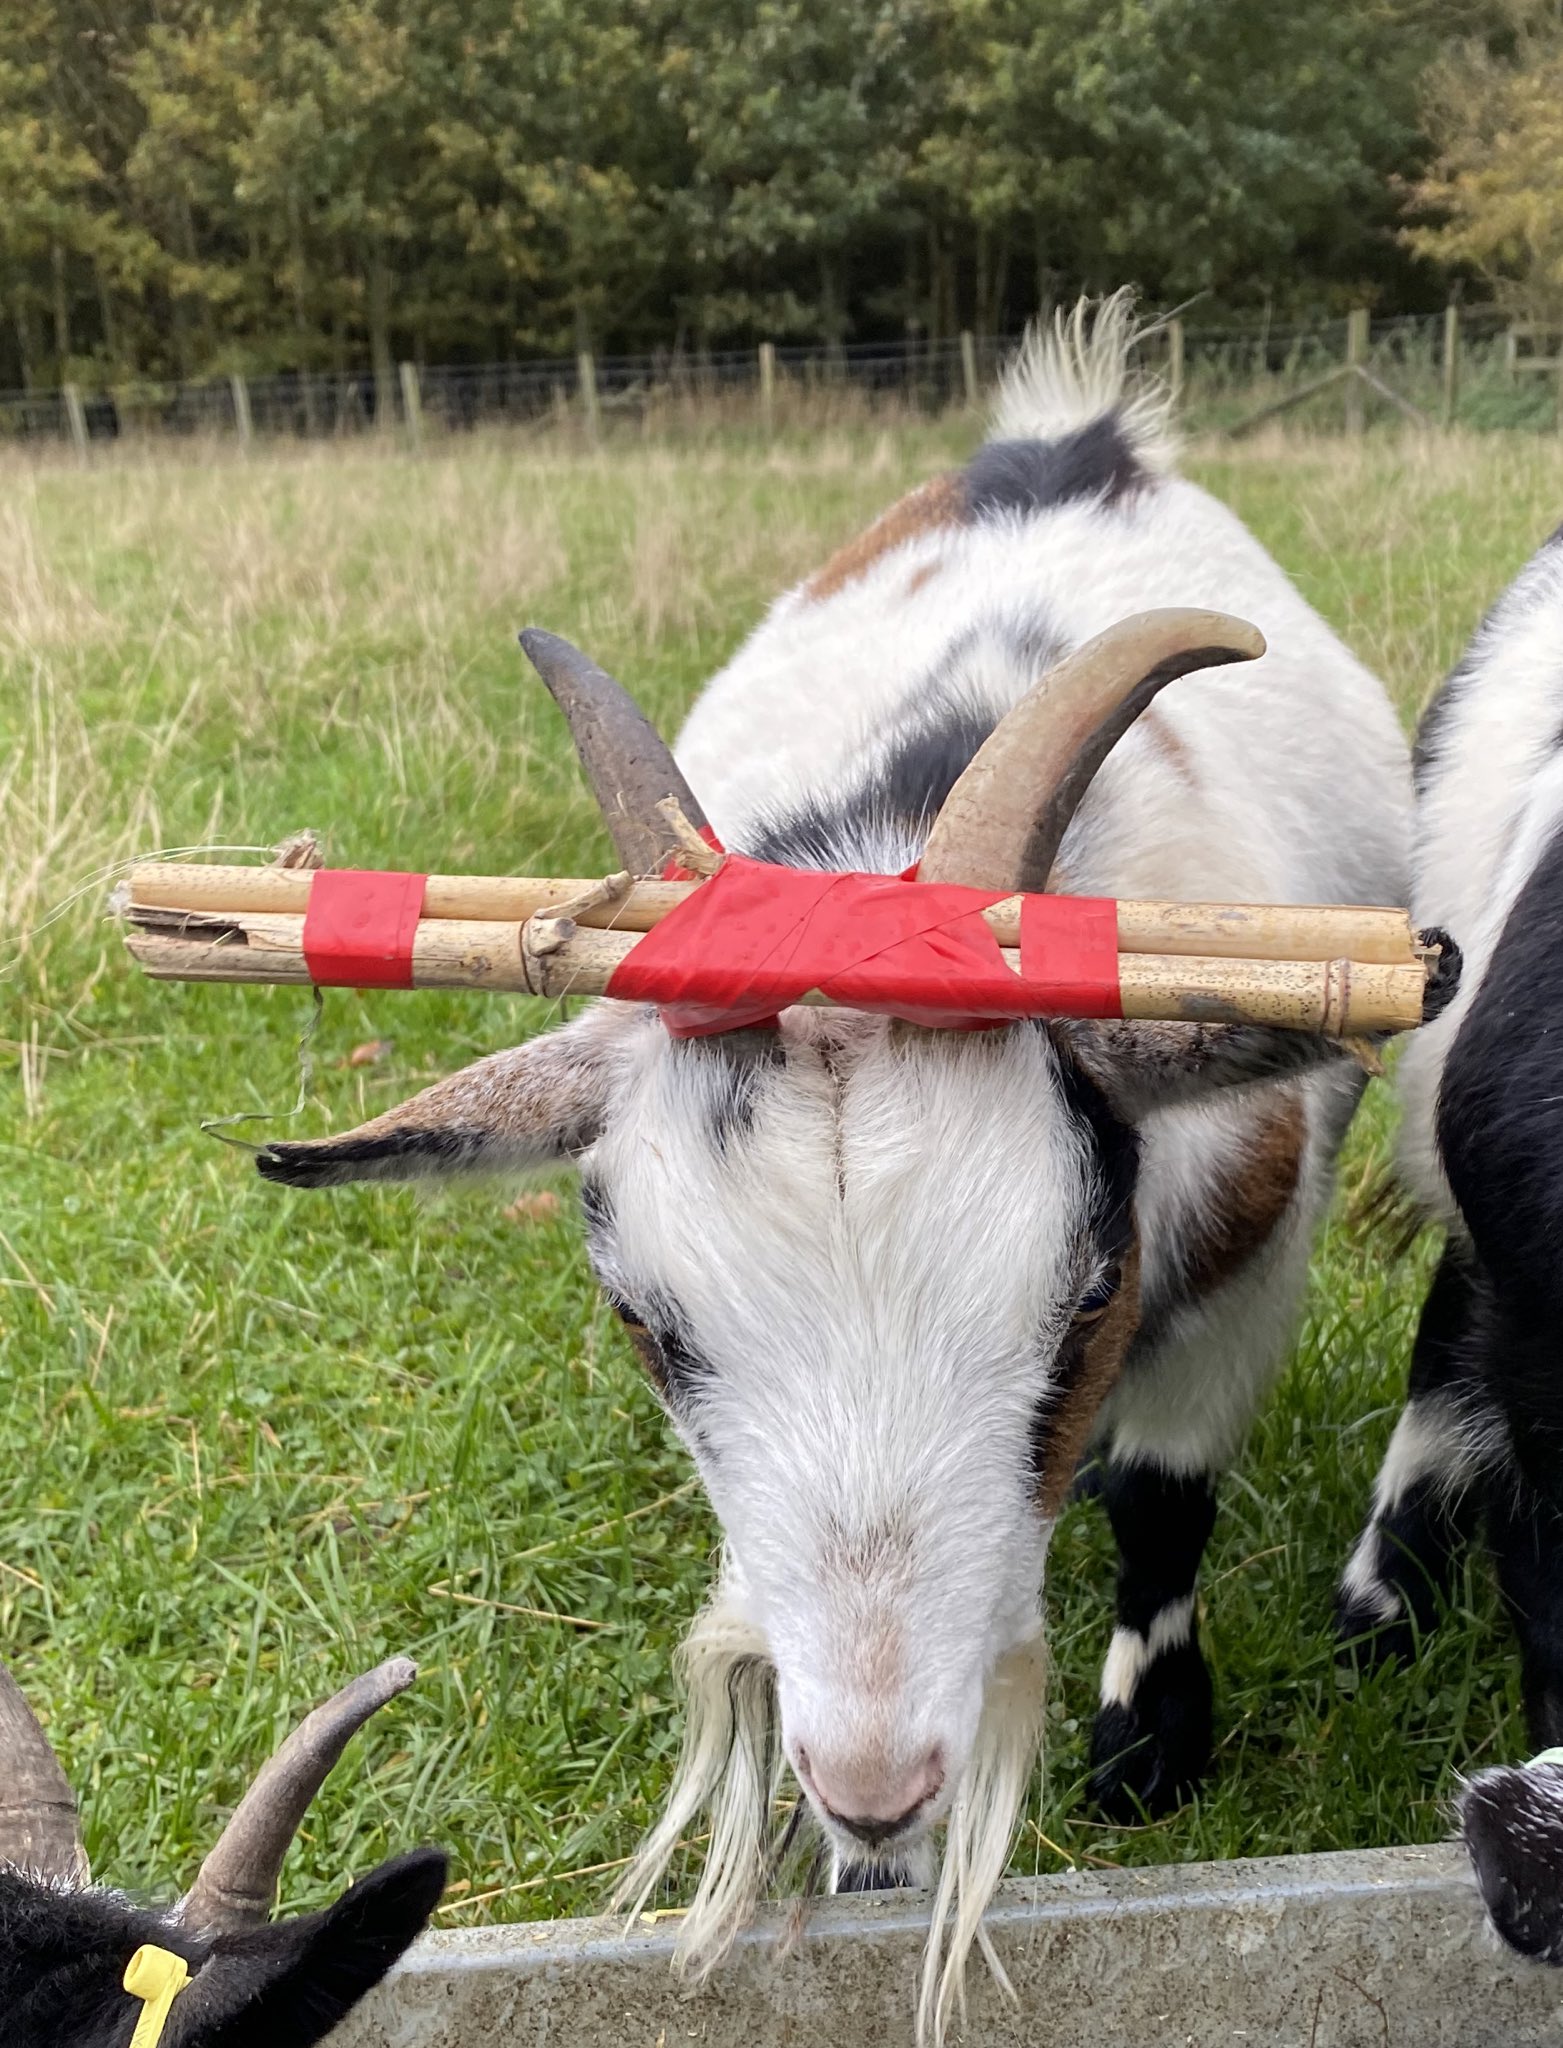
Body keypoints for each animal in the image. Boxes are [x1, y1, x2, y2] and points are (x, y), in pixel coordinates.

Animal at [255, 296, 1410, 2036]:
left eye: (1086, 1296)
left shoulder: (1248, 1254)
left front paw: (1145, 1756)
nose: (872, 1784)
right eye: (648, 1327)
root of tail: (1069, 440)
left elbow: (1161, 1498)